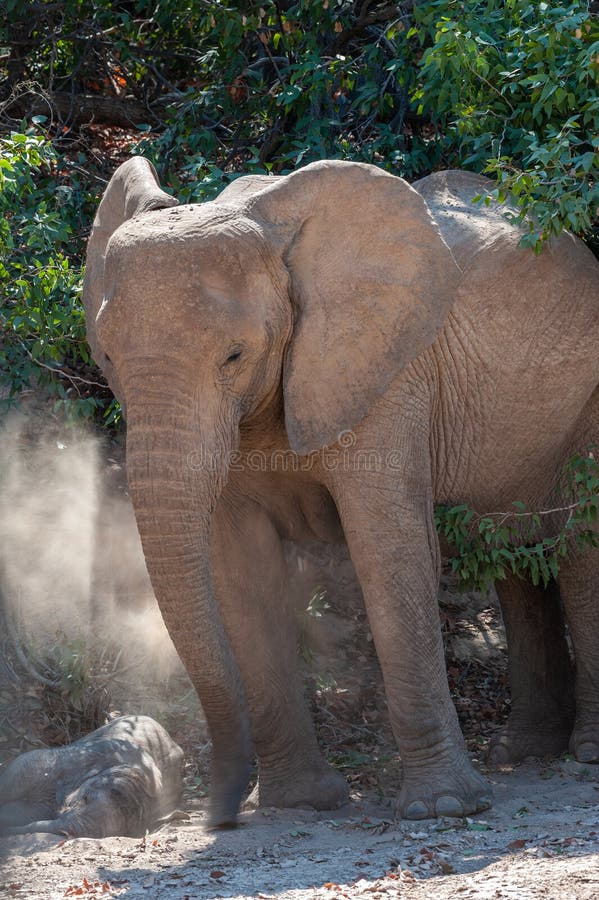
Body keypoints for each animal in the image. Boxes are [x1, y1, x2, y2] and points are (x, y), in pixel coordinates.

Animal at [82, 157, 599, 827]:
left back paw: (583, 754)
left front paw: (442, 808)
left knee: (579, 549)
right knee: (510, 554)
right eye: (106, 357)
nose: (215, 816)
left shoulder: (389, 377)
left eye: (235, 355)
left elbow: (389, 550)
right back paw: (526, 753)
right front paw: (302, 803)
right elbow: (241, 572)